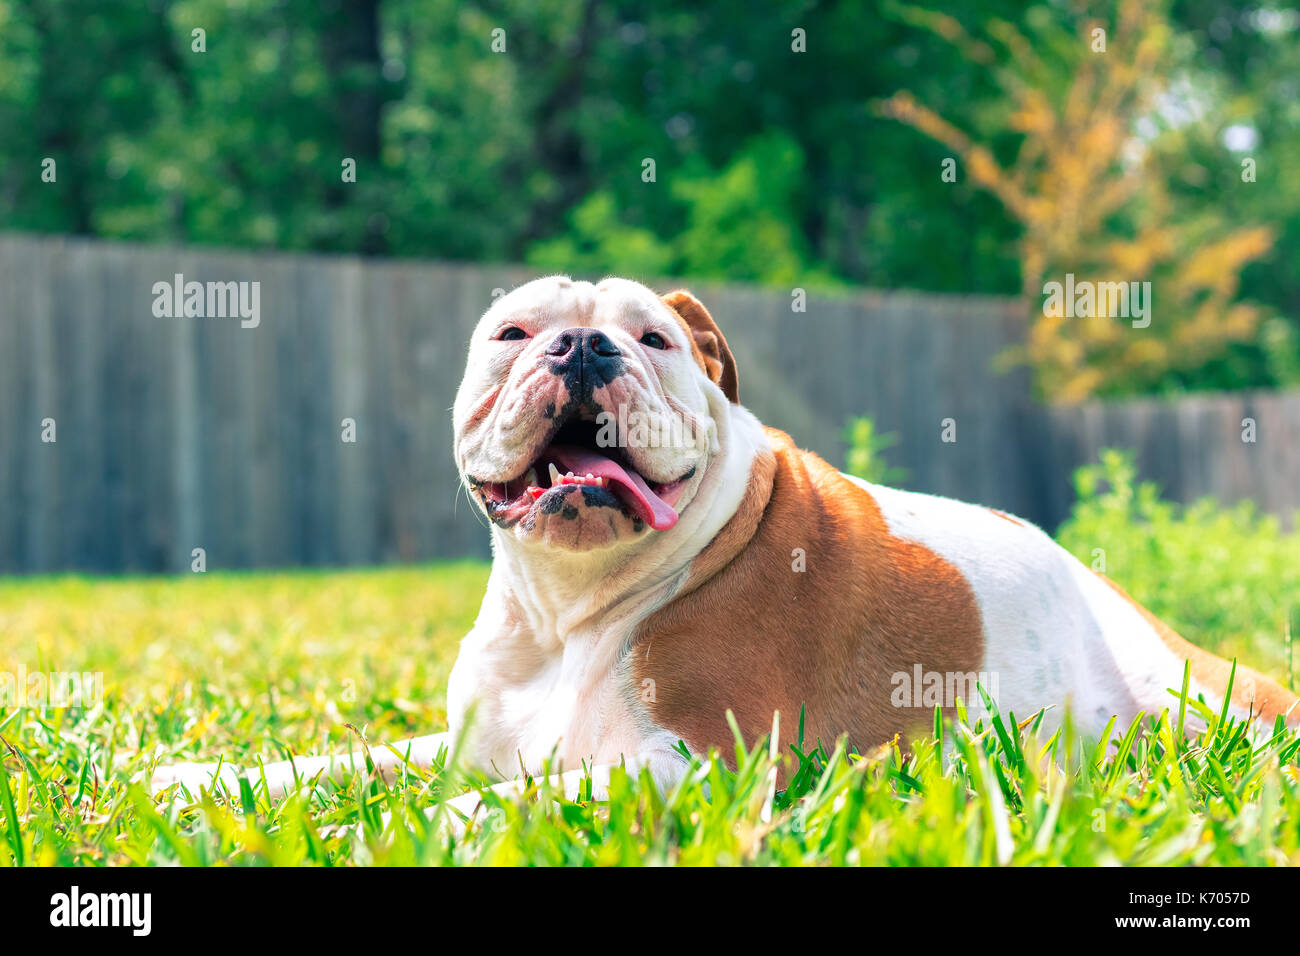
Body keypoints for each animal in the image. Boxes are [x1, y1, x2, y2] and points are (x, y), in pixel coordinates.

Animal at [154, 277, 1300, 822]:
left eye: (655, 339)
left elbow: (488, 805)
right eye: (514, 333)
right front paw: (198, 779)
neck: (567, 609)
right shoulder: (477, 737)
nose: (583, 344)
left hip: (1191, 699)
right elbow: (350, 762)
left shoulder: (689, 762)